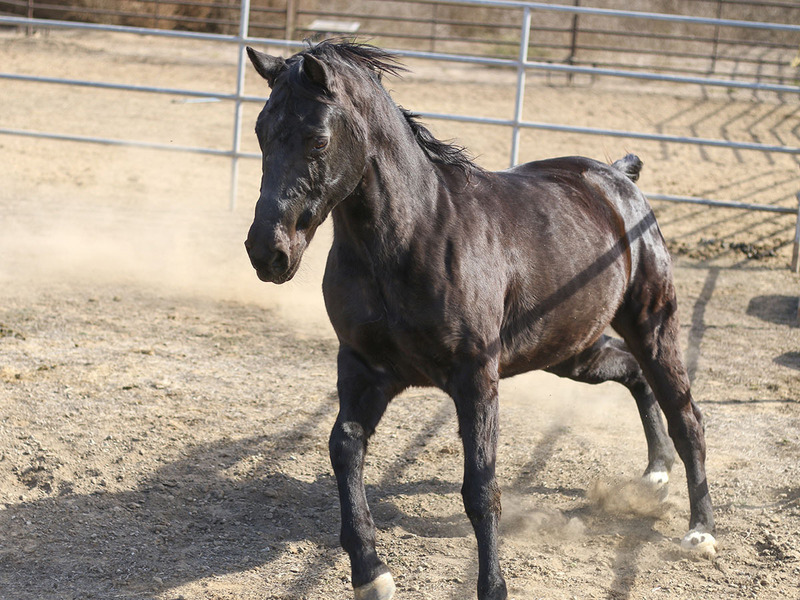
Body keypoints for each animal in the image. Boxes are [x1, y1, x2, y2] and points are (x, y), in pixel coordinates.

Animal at [244, 40, 716, 600]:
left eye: (317, 140)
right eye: (260, 132)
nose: (267, 251)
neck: (412, 237)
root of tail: (619, 178)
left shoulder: (476, 380)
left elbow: (481, 487)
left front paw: (493, 586)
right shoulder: (364, 369)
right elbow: (345, 446)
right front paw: (371, 574)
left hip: (652, 324)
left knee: (686, 415)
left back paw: (700, 533)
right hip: (570, 351)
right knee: (633, 374)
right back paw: (654, 474)